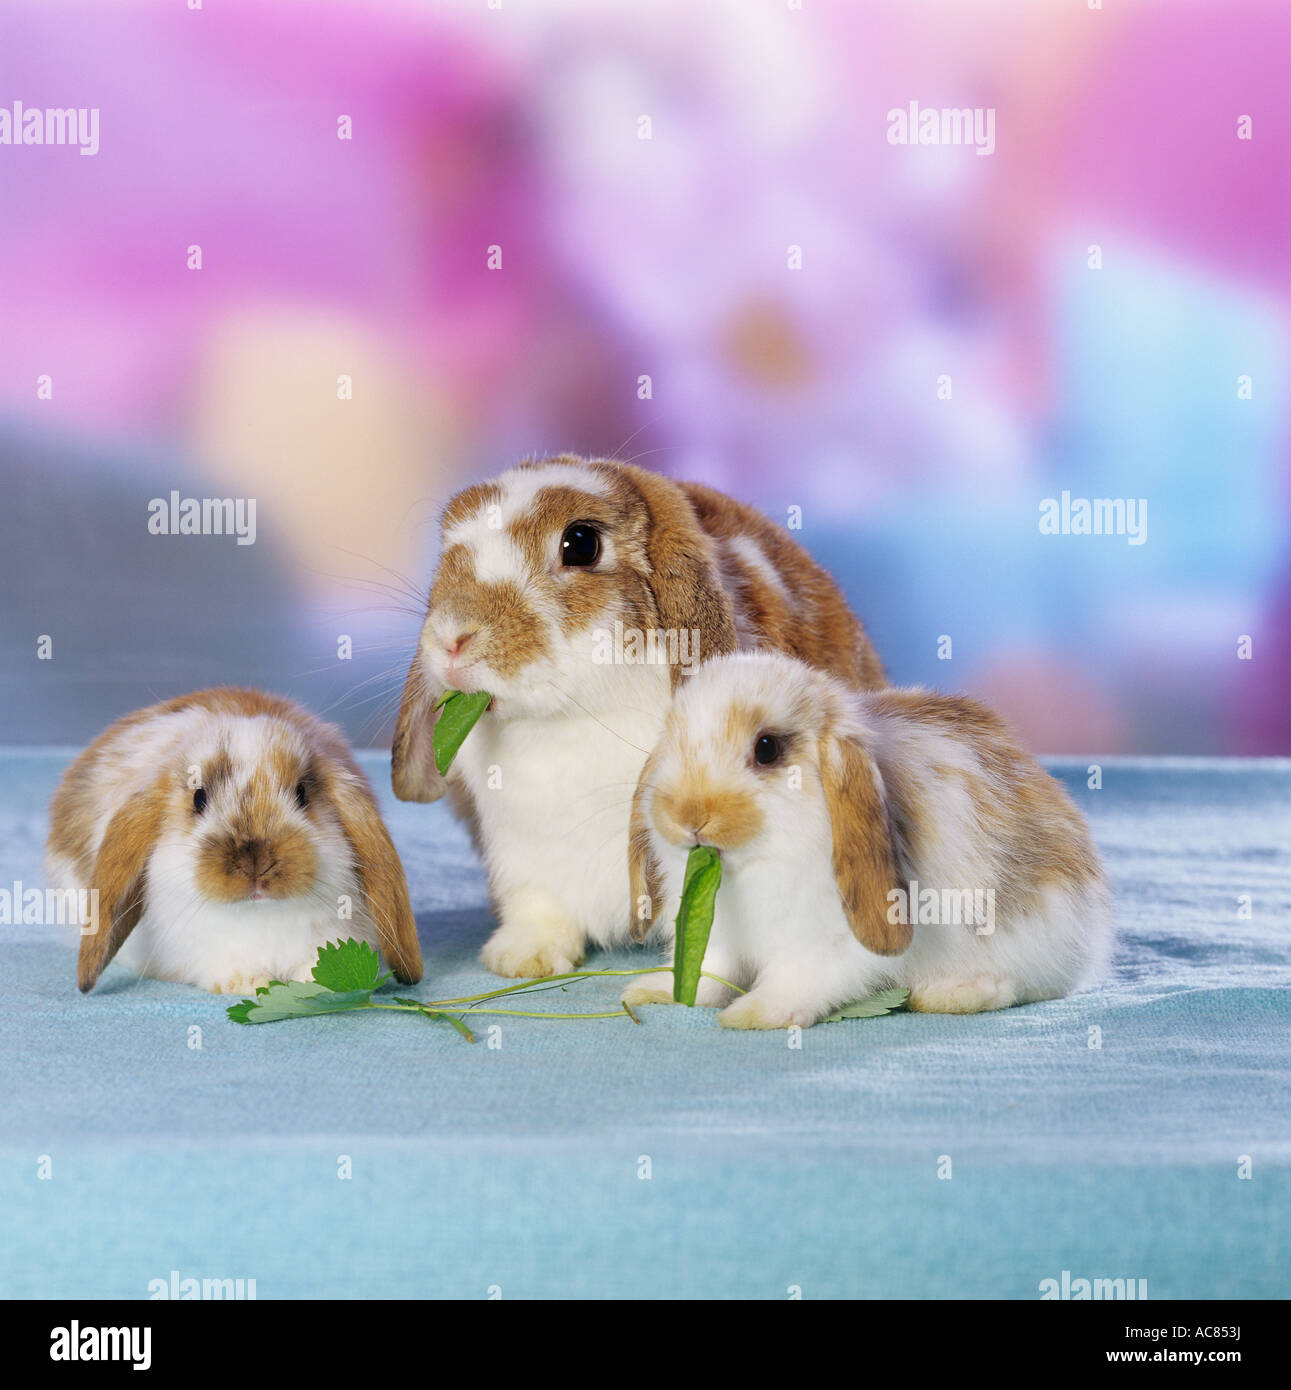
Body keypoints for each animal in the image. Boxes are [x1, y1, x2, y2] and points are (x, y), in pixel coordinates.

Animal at [46, 687, 422, 994]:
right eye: (199, 797)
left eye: (302, 793)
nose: (256, 861)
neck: (261, 915)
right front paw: (251, 984)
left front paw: (315, 981)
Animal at [390, 454, 887, 979]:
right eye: (448, 541)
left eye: (580, 543)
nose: (451, 637)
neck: (569, 721)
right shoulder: (521, 853)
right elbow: (538, 904)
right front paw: (526, 958)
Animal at [623, 650, 1113, 1029]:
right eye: (672, 737)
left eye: (767, 749)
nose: (688, 816)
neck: (753, 864)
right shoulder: (717, 938)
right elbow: (707, 973)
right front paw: (651, 991)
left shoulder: (828, 946)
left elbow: (796, 980)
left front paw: (754, 1014)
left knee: (1021, 985)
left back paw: (952, 992)